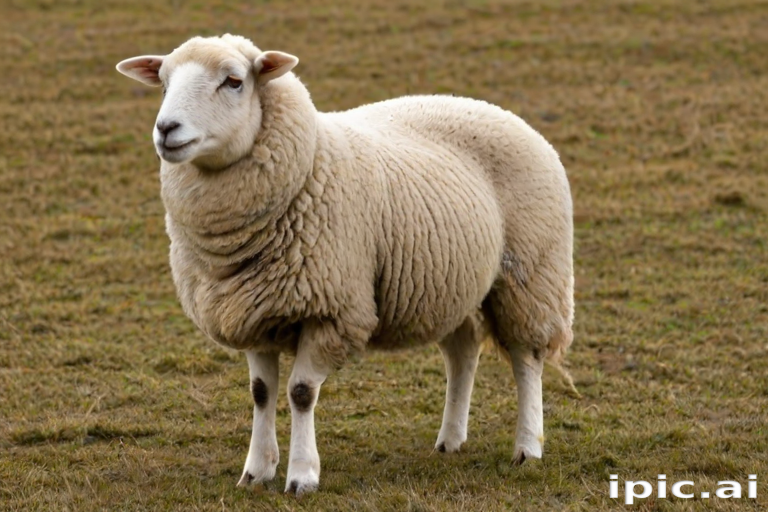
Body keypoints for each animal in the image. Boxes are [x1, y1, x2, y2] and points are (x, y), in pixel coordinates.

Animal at [115, 34, 574, 495]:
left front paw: (302, 475)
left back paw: (527, 447)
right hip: (452, 282)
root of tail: (492, 108)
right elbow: (261, 392)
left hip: (531, 275)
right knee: (462, 352)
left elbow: (301, 392)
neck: (308, 162)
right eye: (163, 83)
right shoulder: (253, 309)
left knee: (526, 359)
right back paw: (450, 440)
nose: (166, 129)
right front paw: (256, 471)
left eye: (233, 81)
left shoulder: (332, 311)